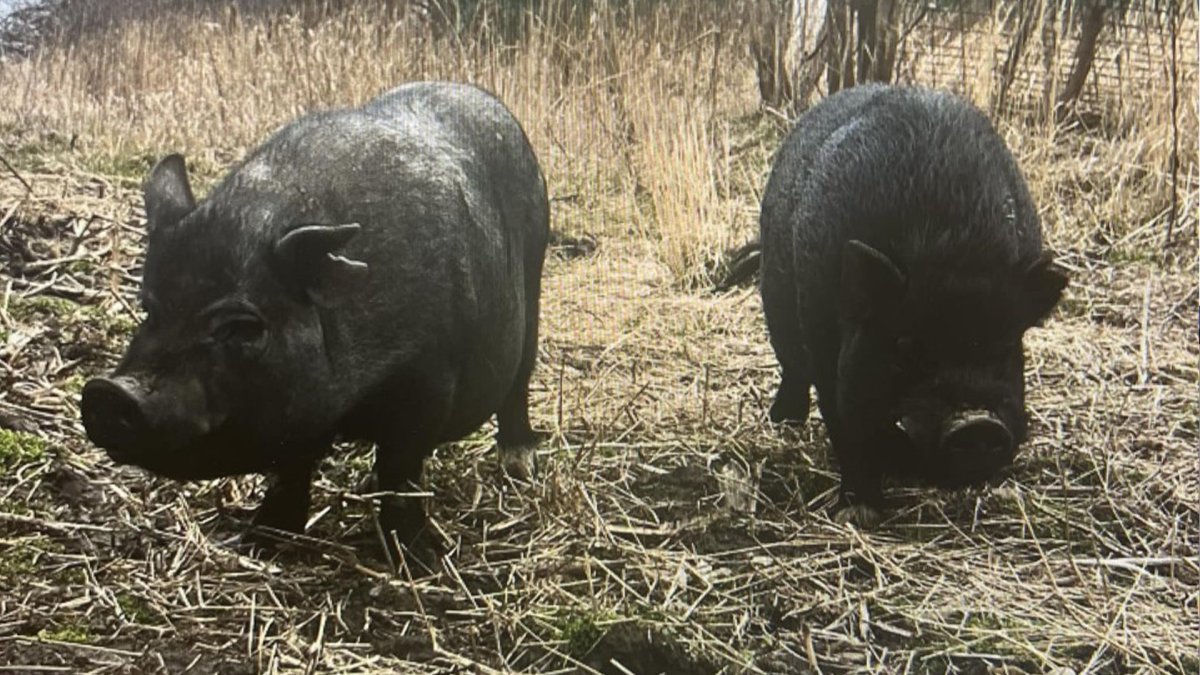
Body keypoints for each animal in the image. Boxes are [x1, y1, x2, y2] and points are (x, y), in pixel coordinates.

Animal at [80, 81, 549, 559]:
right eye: (150, 308)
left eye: (242, 327)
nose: (108, 391)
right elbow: (291, 468)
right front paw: (260, 542)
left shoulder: (431, 378)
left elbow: (400, 471)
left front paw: (420, 560)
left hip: (534, 272)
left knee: (519, 381)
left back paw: (520, 465)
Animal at [758, 84, 1068, 524]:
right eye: (904, 345)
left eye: (1008, 344)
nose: (976, 423)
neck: (951, 246)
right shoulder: (824, 342)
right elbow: (845, 425)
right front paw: (860, 513)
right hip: (776, 301)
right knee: (791, 368)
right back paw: (783, 421)